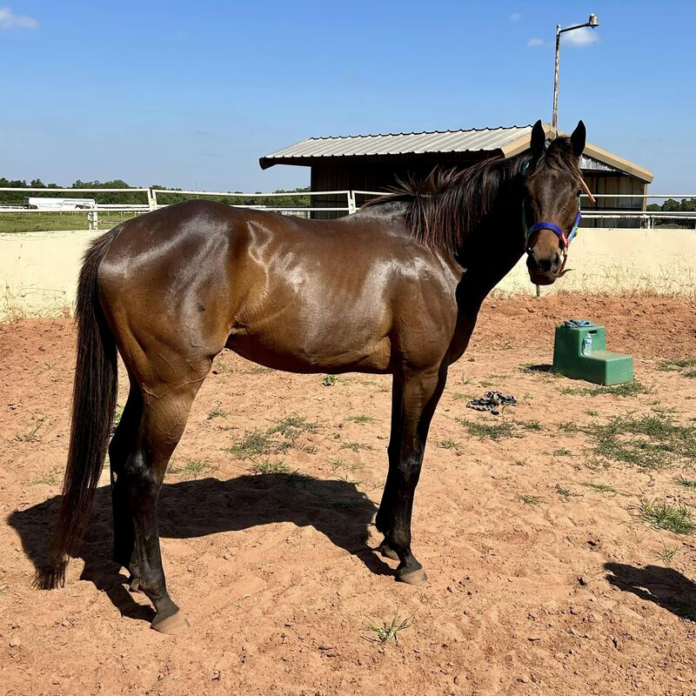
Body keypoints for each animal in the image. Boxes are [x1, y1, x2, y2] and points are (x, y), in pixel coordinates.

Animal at [41, 119, 587, 633]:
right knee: (142, 472)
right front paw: (406, 556)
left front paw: (386, 538)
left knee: (118, 455)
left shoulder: (409, 375)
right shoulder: (424, 373)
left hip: (146, 384)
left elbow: (396, 451)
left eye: (577, 191)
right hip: (173, 389)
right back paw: (161, 598)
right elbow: (410, 459)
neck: (437, 248)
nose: (545, 262)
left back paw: (130, 569)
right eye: (526, 189)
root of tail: (120, 237)